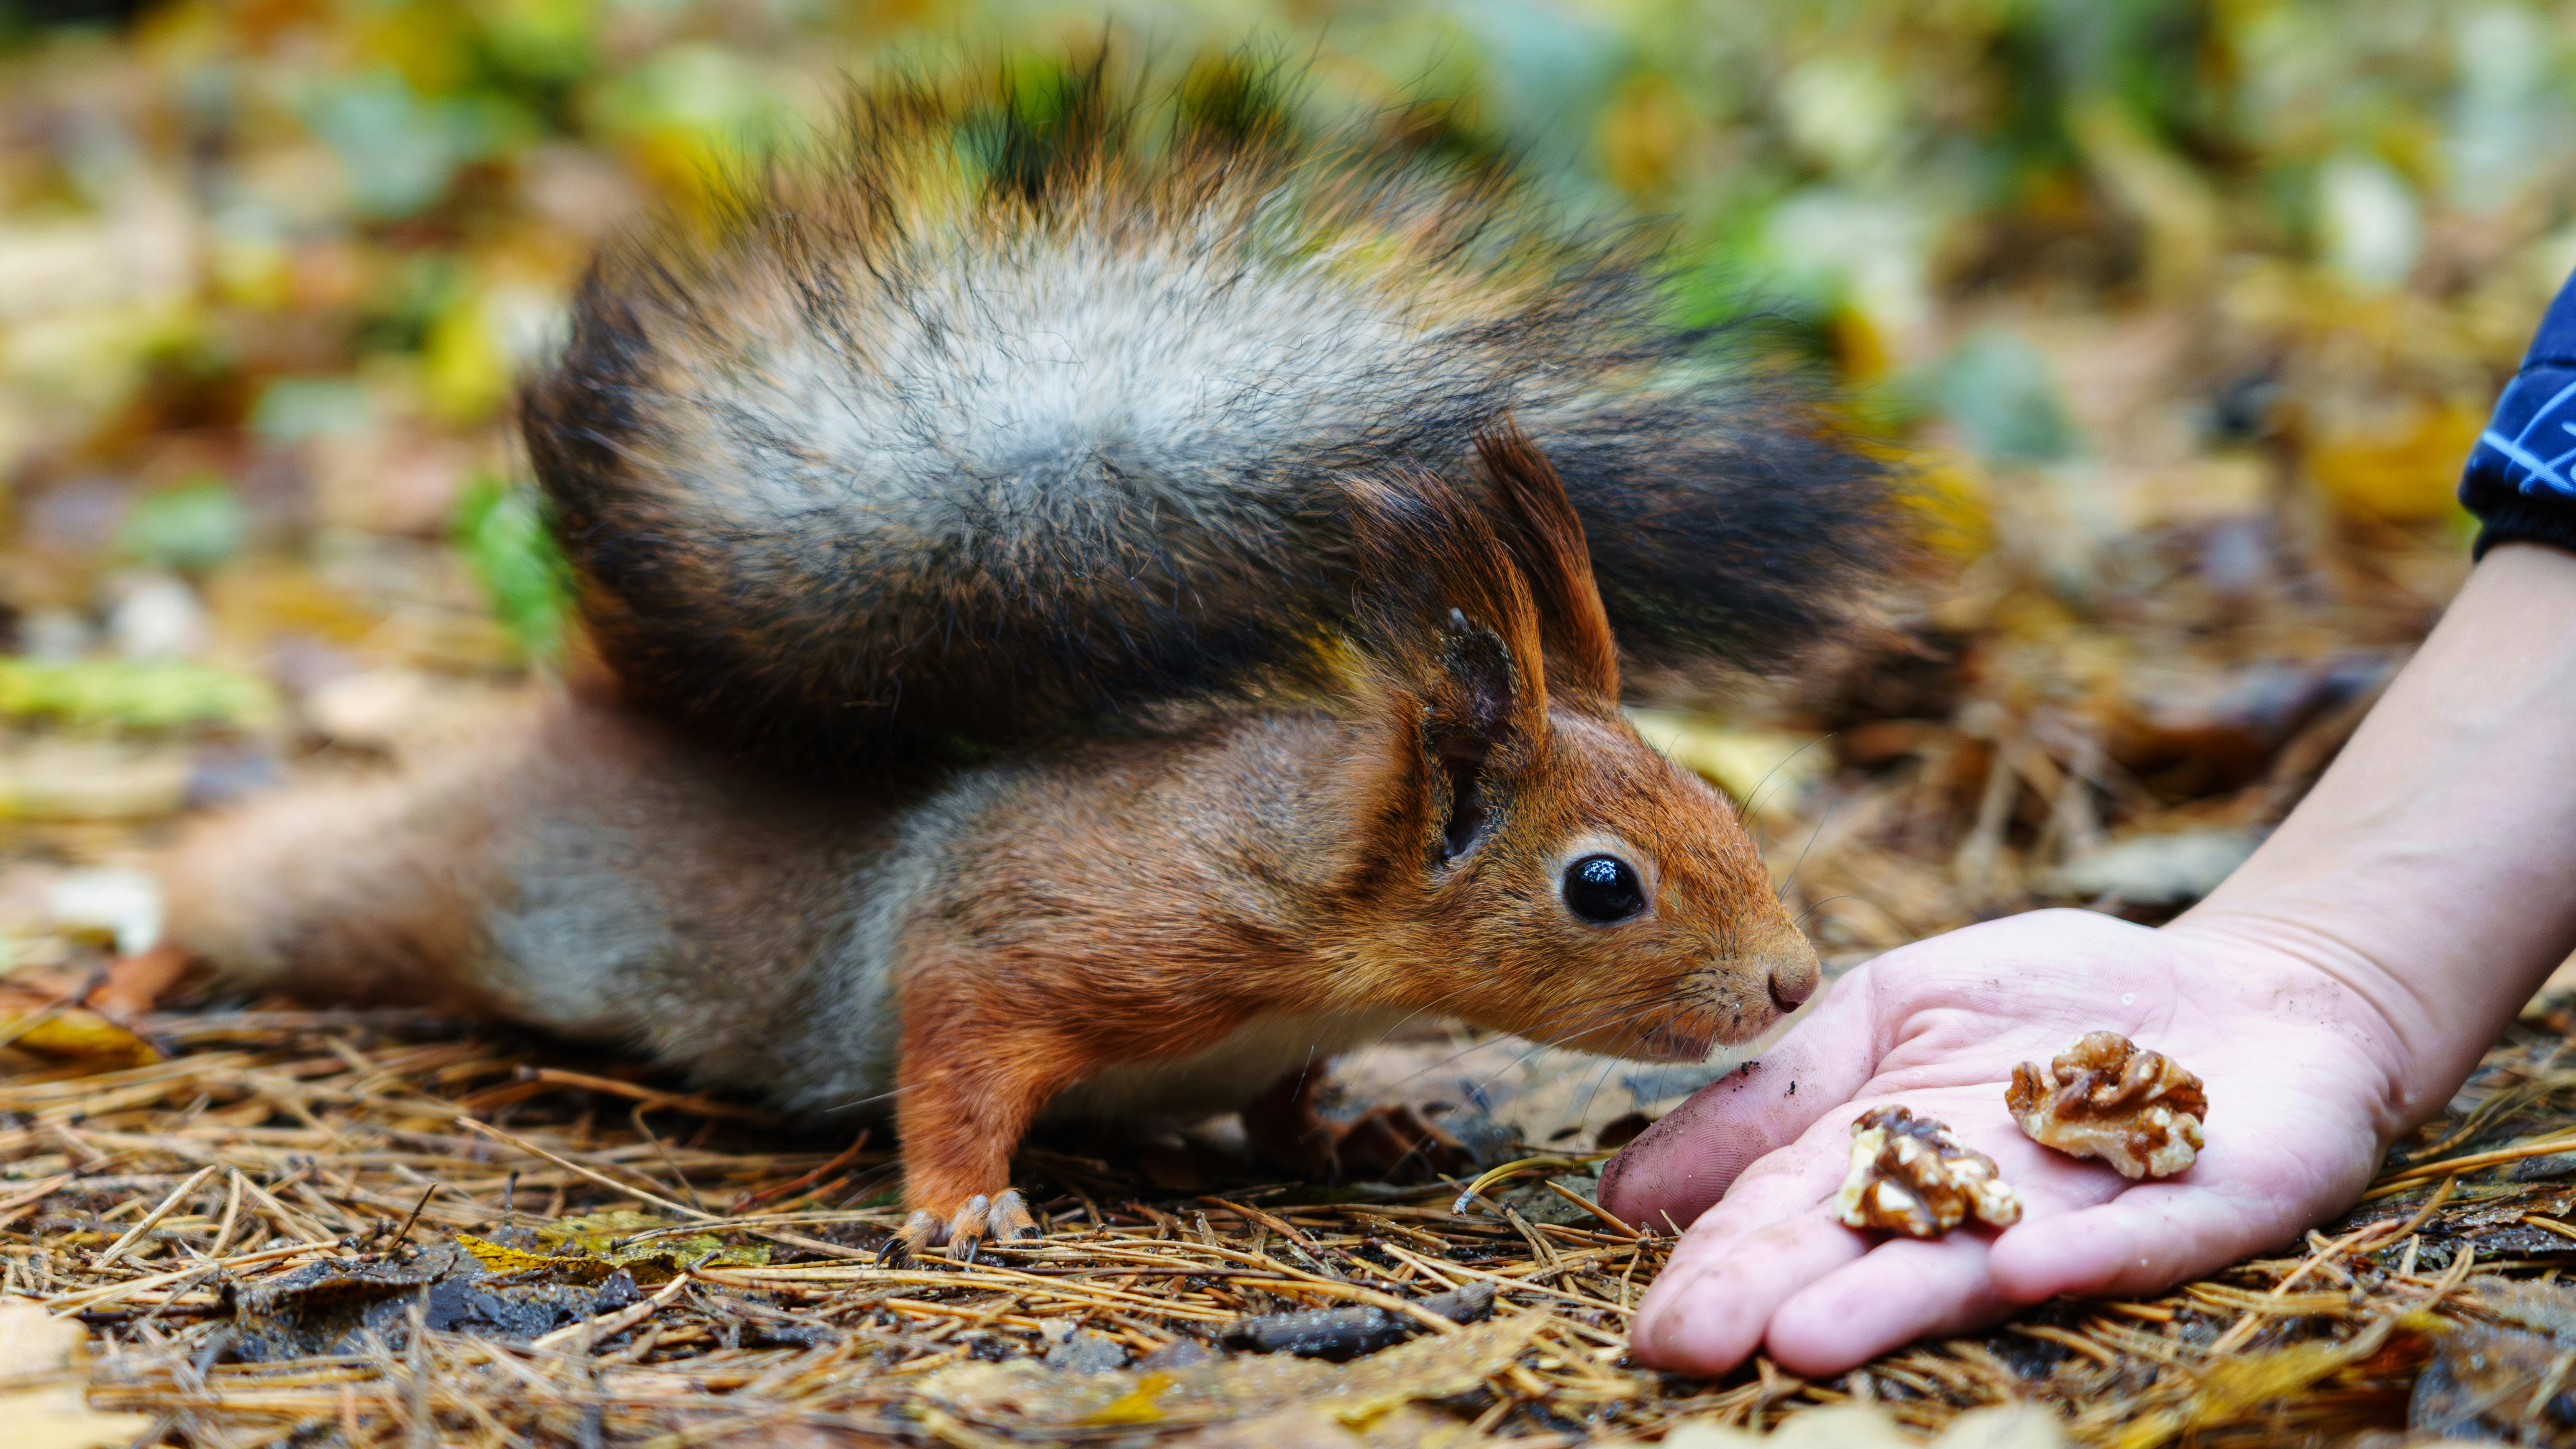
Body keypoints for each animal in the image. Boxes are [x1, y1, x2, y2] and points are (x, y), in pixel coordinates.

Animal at [157, 60, 1900, 1261]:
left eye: (1717, 801)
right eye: (1600, 884)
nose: (1789, 979)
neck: (1327, 919)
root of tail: (612, 707)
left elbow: (1284, 1099)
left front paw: (1360, 1130)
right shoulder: (1037, 937)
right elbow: (953, 1049)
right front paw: (956, 1207)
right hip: (439, 885)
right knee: (284, 875)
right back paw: (145, 954)